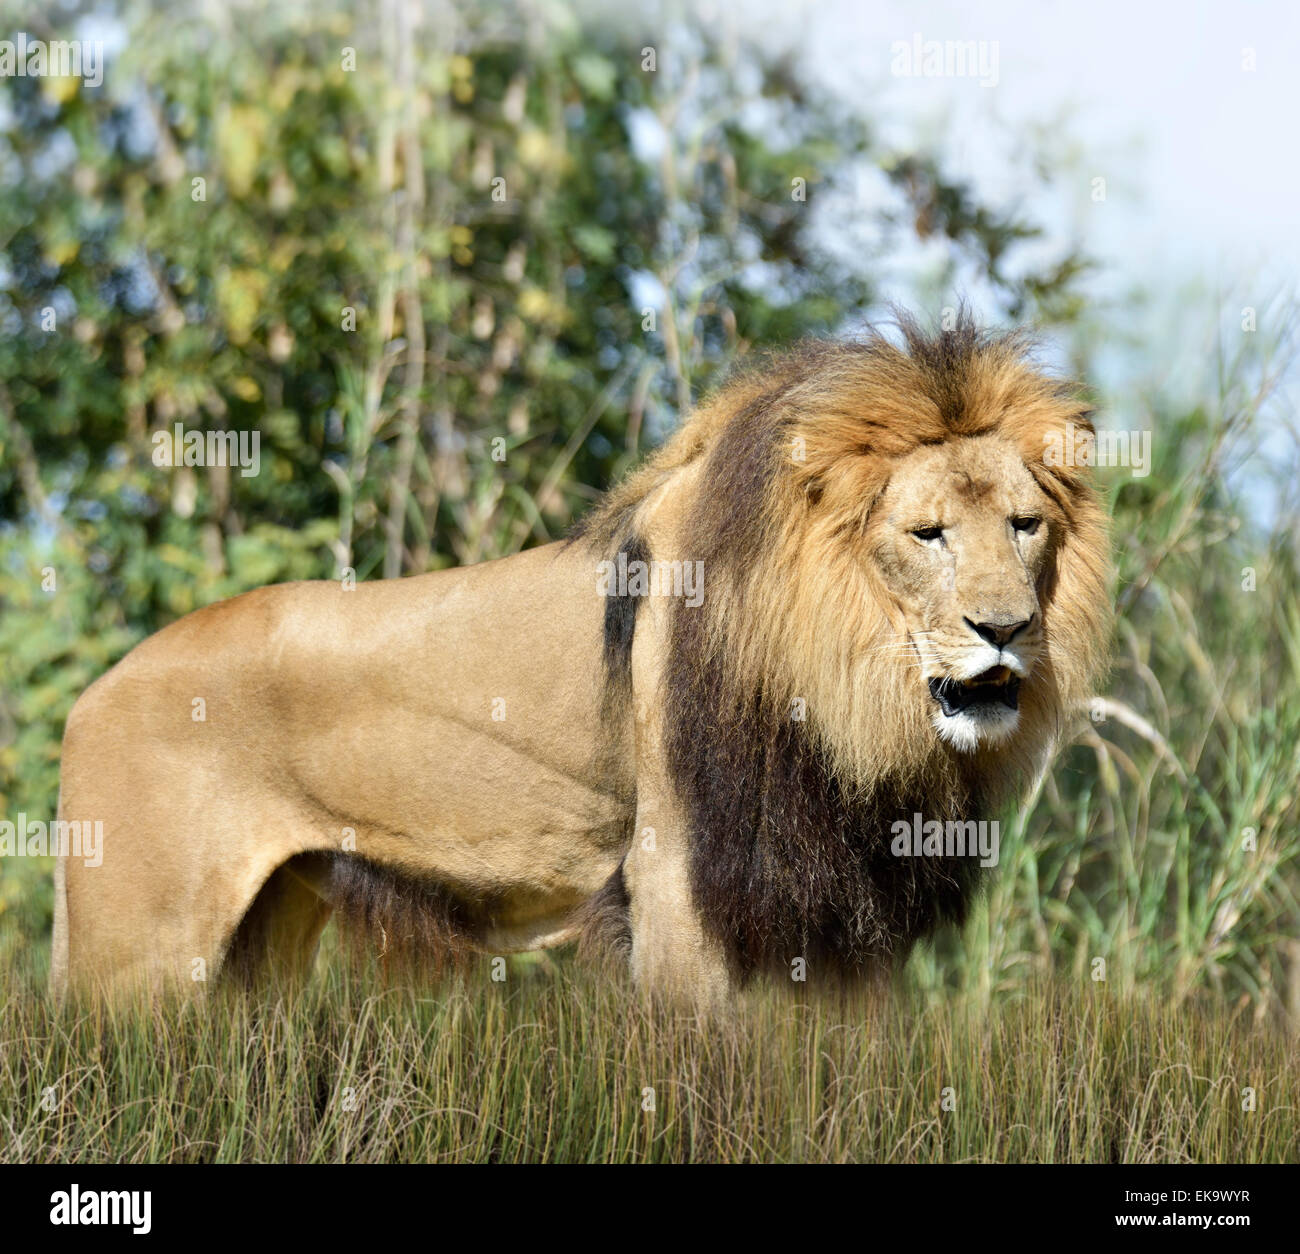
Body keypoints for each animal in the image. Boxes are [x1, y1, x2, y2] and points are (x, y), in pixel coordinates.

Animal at [51, 314, 1110, 1002]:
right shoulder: (679, 888)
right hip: (136, 957)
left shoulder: (841, 911)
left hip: (257, 951)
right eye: (927, 534)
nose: (1006, 627)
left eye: (1024, 527)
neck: (844, 687)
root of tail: (91, 695)